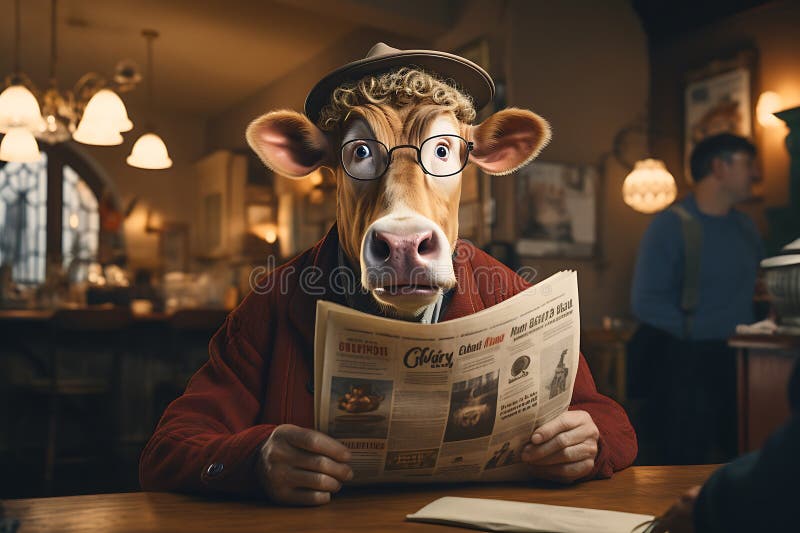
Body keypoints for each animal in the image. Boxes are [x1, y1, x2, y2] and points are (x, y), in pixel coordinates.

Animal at [139, 43, 637, 506]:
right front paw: (291, 457)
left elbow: (604, 411)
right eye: (359, 151)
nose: (402, 243)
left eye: (443, 150)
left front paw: (567, 440)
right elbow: (182, 425)